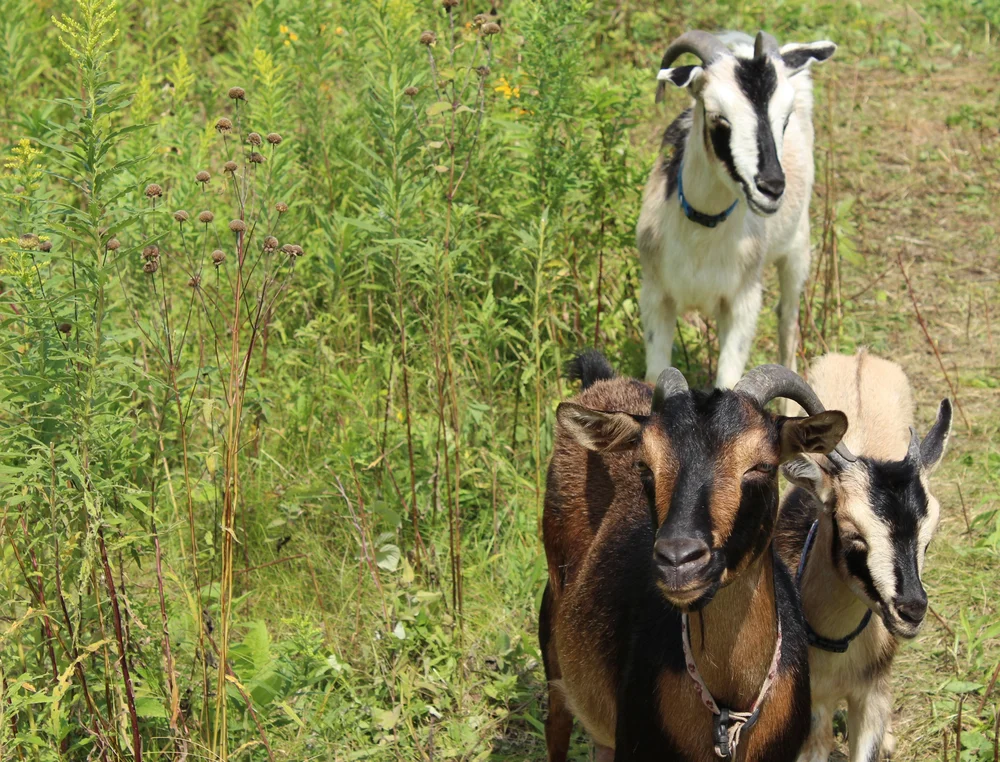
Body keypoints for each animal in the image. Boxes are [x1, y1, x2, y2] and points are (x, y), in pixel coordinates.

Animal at [636, 30, 836, 390]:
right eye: (719, 117)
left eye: (785, 120)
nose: (771, 187)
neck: (701, 233)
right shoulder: (655, 295)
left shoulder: (743, 303)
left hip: (798, 249)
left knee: (788, 323)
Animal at [775, 350, 952, 762]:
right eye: (853, 537)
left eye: (928, 541)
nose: (912, 611)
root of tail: (860, 356)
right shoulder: (811, 705)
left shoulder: (871, 695)